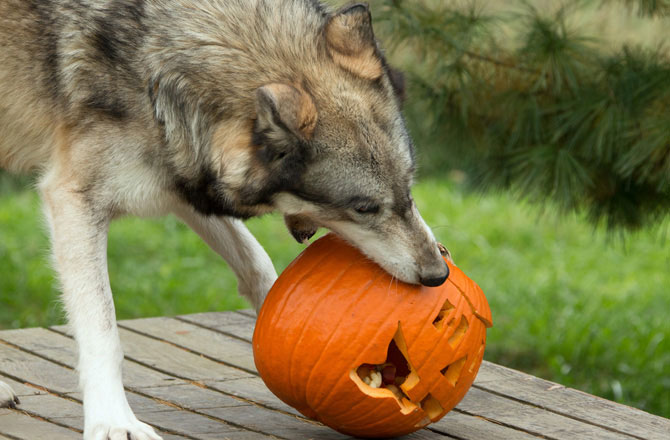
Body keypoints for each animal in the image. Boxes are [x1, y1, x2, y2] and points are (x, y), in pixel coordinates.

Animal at [0, 0, 450, 438]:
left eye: (409, 188)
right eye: (365, 208)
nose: (439, 274)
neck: (155, 63)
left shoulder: (183, 183)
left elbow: (259, 267)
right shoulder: (74, 198)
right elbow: (102, 330)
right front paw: (113, 421)